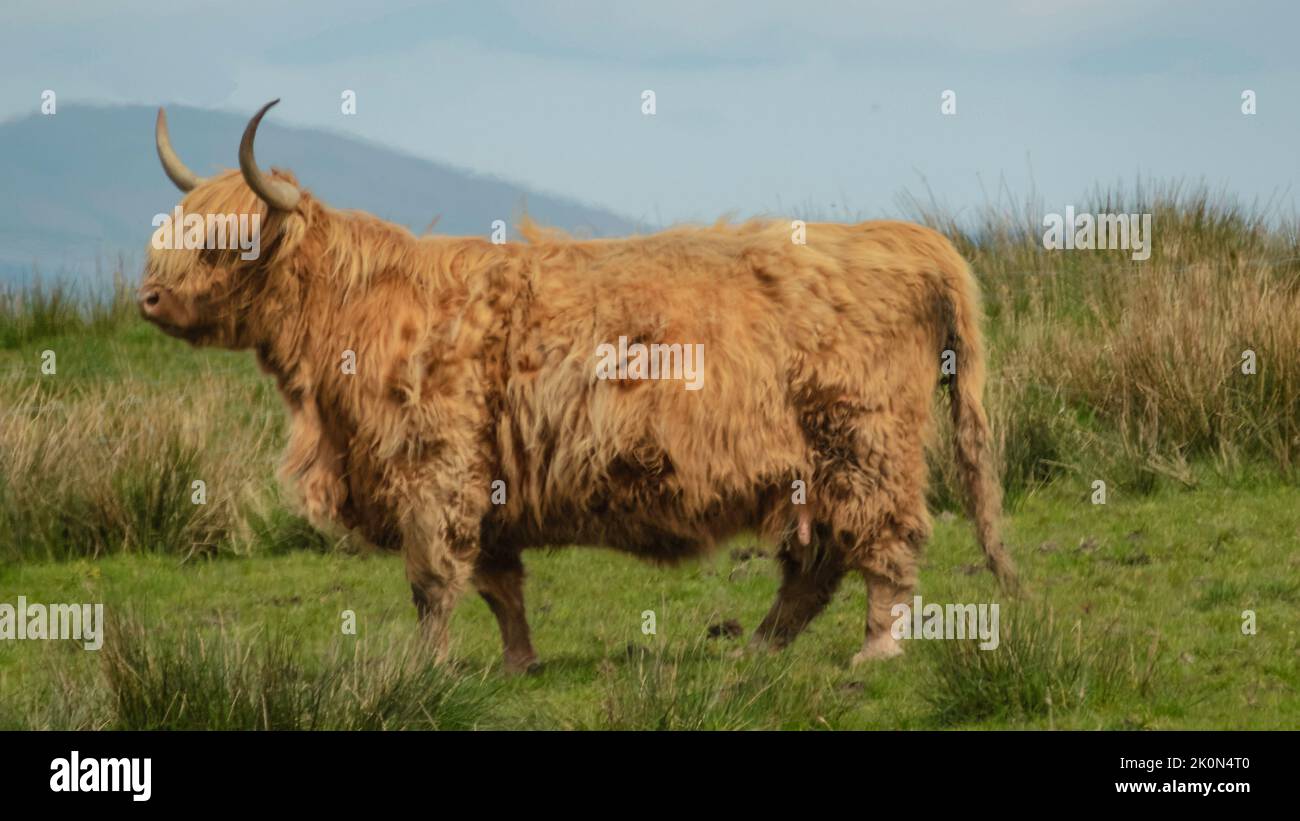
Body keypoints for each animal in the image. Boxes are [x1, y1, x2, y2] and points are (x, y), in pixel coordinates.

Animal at [140, 100, 1017, 673]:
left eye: (224, 243)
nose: (146, 298)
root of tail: (909, 239)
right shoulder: (484, 484)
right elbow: (500, 584)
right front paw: (519, 663)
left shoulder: (433, 471)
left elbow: (432, 580)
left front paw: (426, 668)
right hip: (815, 467)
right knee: (816, 562)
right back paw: (762, 646)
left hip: (864, 444)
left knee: (887, 544)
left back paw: (877, 650)